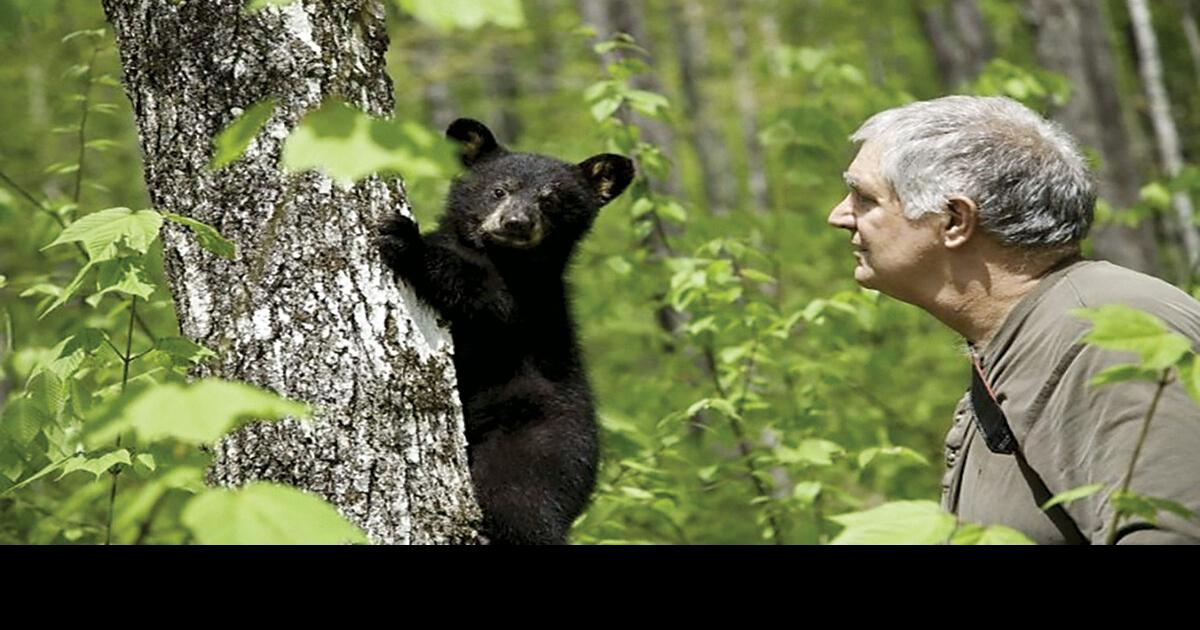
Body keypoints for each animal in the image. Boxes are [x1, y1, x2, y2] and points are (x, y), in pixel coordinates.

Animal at [377, 118, 635, 545]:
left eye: (551, 201)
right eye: (500, 190)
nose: (516, 223)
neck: (501, 257)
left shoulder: (532, 303)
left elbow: (487, 300)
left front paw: (407, 240)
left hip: (531, 450)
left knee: (520, 511)